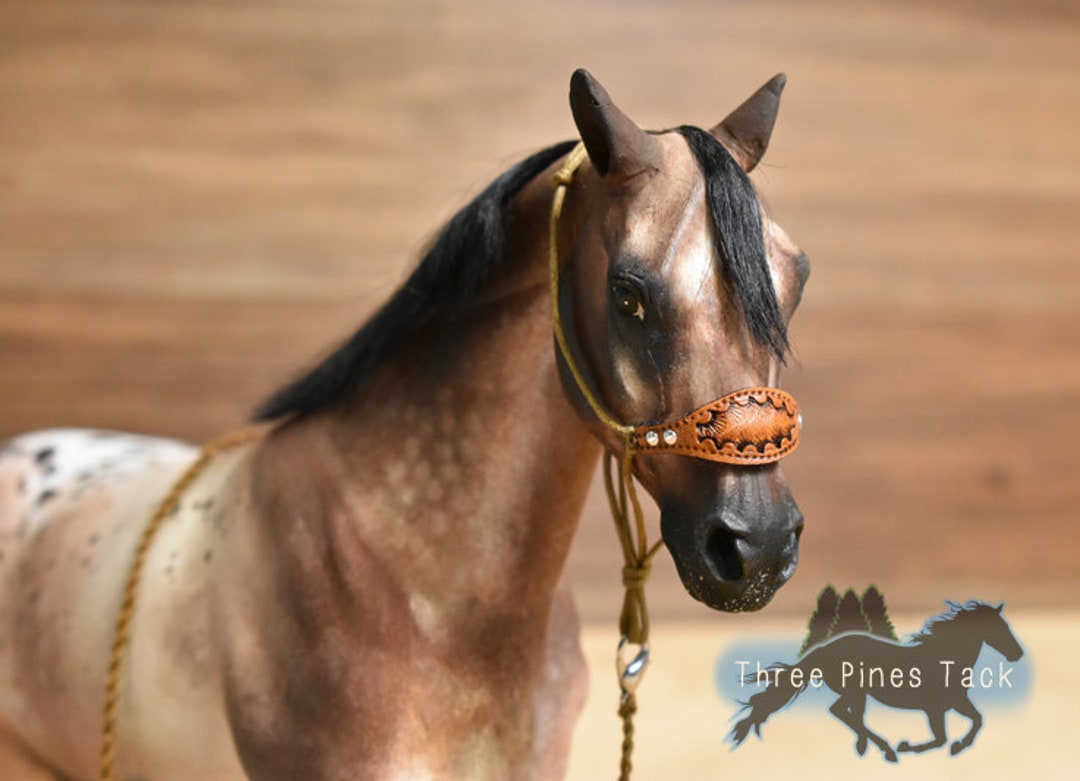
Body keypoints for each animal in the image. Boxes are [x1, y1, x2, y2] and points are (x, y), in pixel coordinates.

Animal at [728, 601, 1025, 762]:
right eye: (999, 628)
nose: (1018, 654)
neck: (944, 658)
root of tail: (824, 650)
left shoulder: (950, 705)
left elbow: (970, 723)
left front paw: (951, 746)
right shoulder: (939, 707)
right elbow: (947, 735)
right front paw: (911, 747)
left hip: (859, 694)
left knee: (850, 715)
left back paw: (868, 746)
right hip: (854, 691)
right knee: (840, 711)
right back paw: (886, 749)